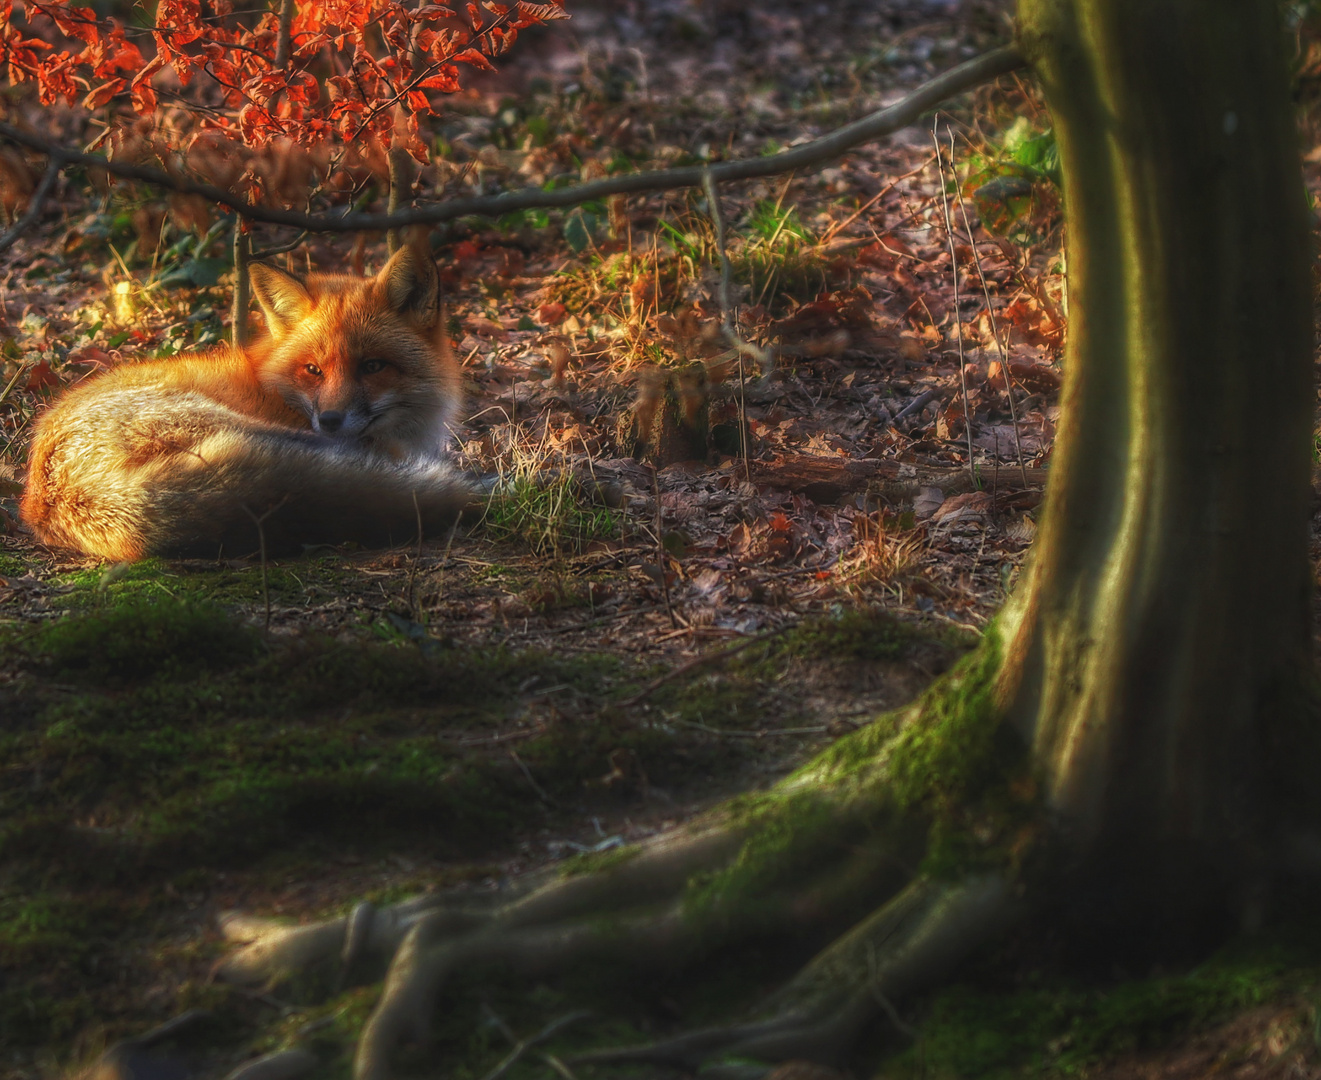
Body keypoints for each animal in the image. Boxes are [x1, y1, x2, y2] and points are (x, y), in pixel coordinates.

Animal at [21, 246, 471, 561]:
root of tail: (51, 494)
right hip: (246, 429)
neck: (273, 386)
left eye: (373, 366)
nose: (329, 420)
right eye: (313, 369)